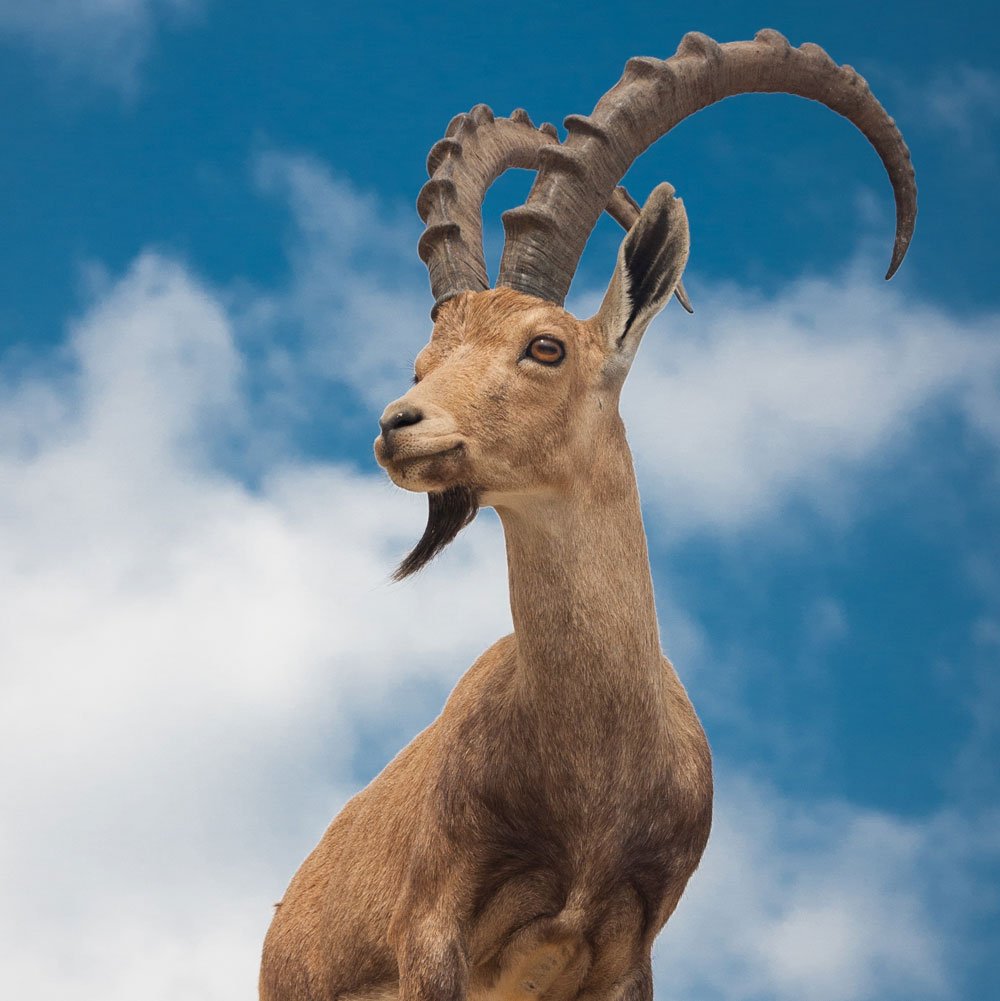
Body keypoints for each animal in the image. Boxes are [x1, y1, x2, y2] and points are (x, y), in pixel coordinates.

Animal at [260, 29, 916, 1001]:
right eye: (424, 358)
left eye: (545, 346)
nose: (398, 426)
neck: (592, 779)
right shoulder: (433, 934)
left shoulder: (626, 950)